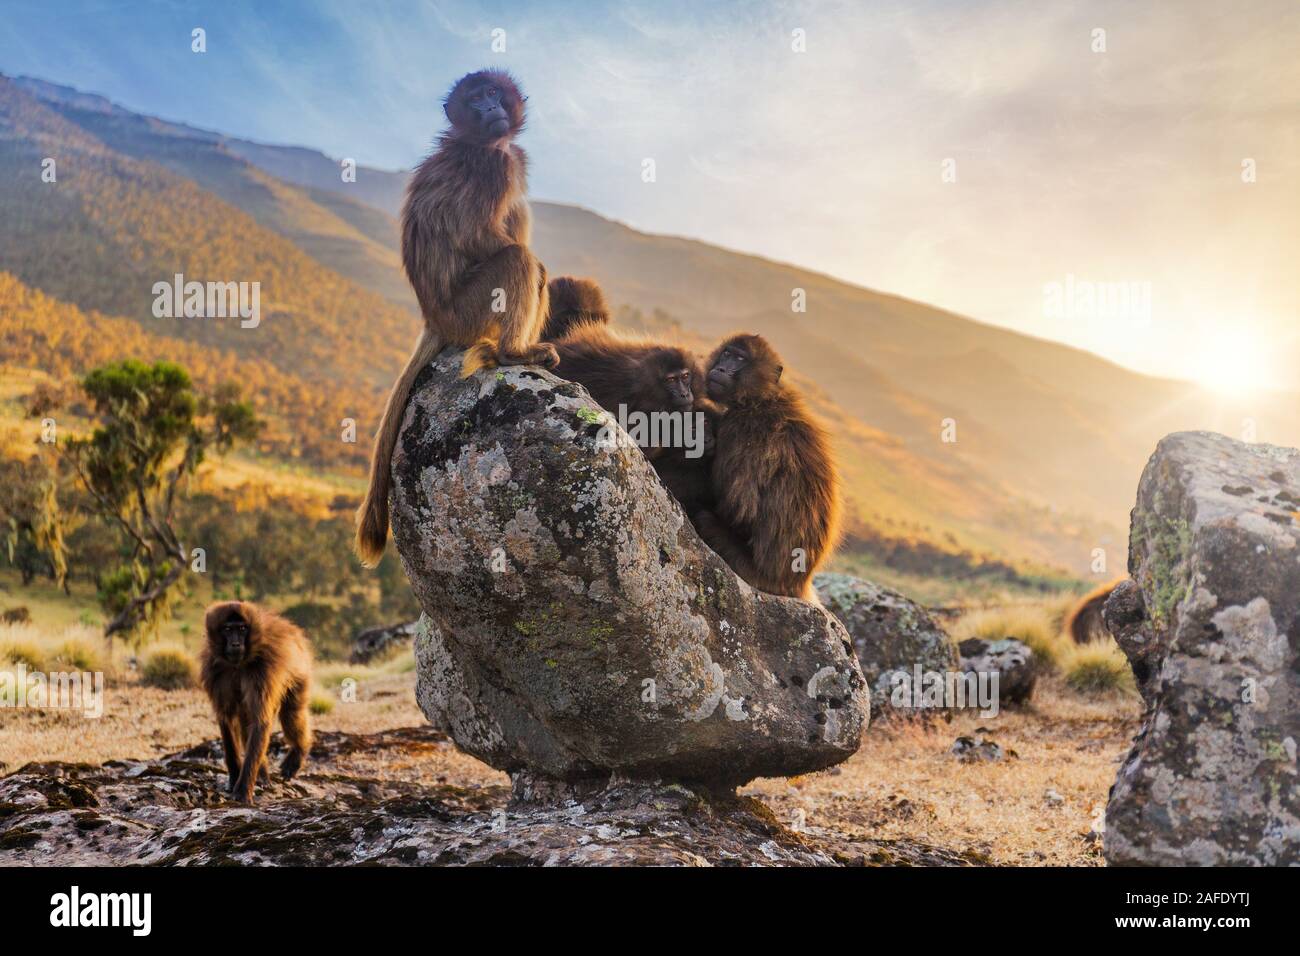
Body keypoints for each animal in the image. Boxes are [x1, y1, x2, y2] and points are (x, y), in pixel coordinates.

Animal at [200, 601, 313, 804]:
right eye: (228, 629)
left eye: (242, 629)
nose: (235, 644)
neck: (237, 665)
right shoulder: (216, 670)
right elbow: (227, 719)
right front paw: (234, 777)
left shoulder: (263, 671)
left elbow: (260, 721)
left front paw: (243, 790)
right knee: (247, 722)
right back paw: (262, 774)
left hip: (300, 671)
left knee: (292, 712)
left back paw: (299, 752)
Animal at [356, 70, 557, 566]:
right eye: (476, 99)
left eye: (493, 93)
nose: (489, 108)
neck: (481, 140)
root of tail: (434, 319)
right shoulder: (495, 167)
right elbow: (478, 235)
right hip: (469, 310)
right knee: (518, 257)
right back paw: (513, 352)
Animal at [691, 334, 841, 601]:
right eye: (727, 354)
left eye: (740, 359)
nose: (721, 369)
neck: (759, 397)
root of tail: (796, 584)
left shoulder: (740, 429)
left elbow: (740, 508)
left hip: (750, 571)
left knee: (705, 517)